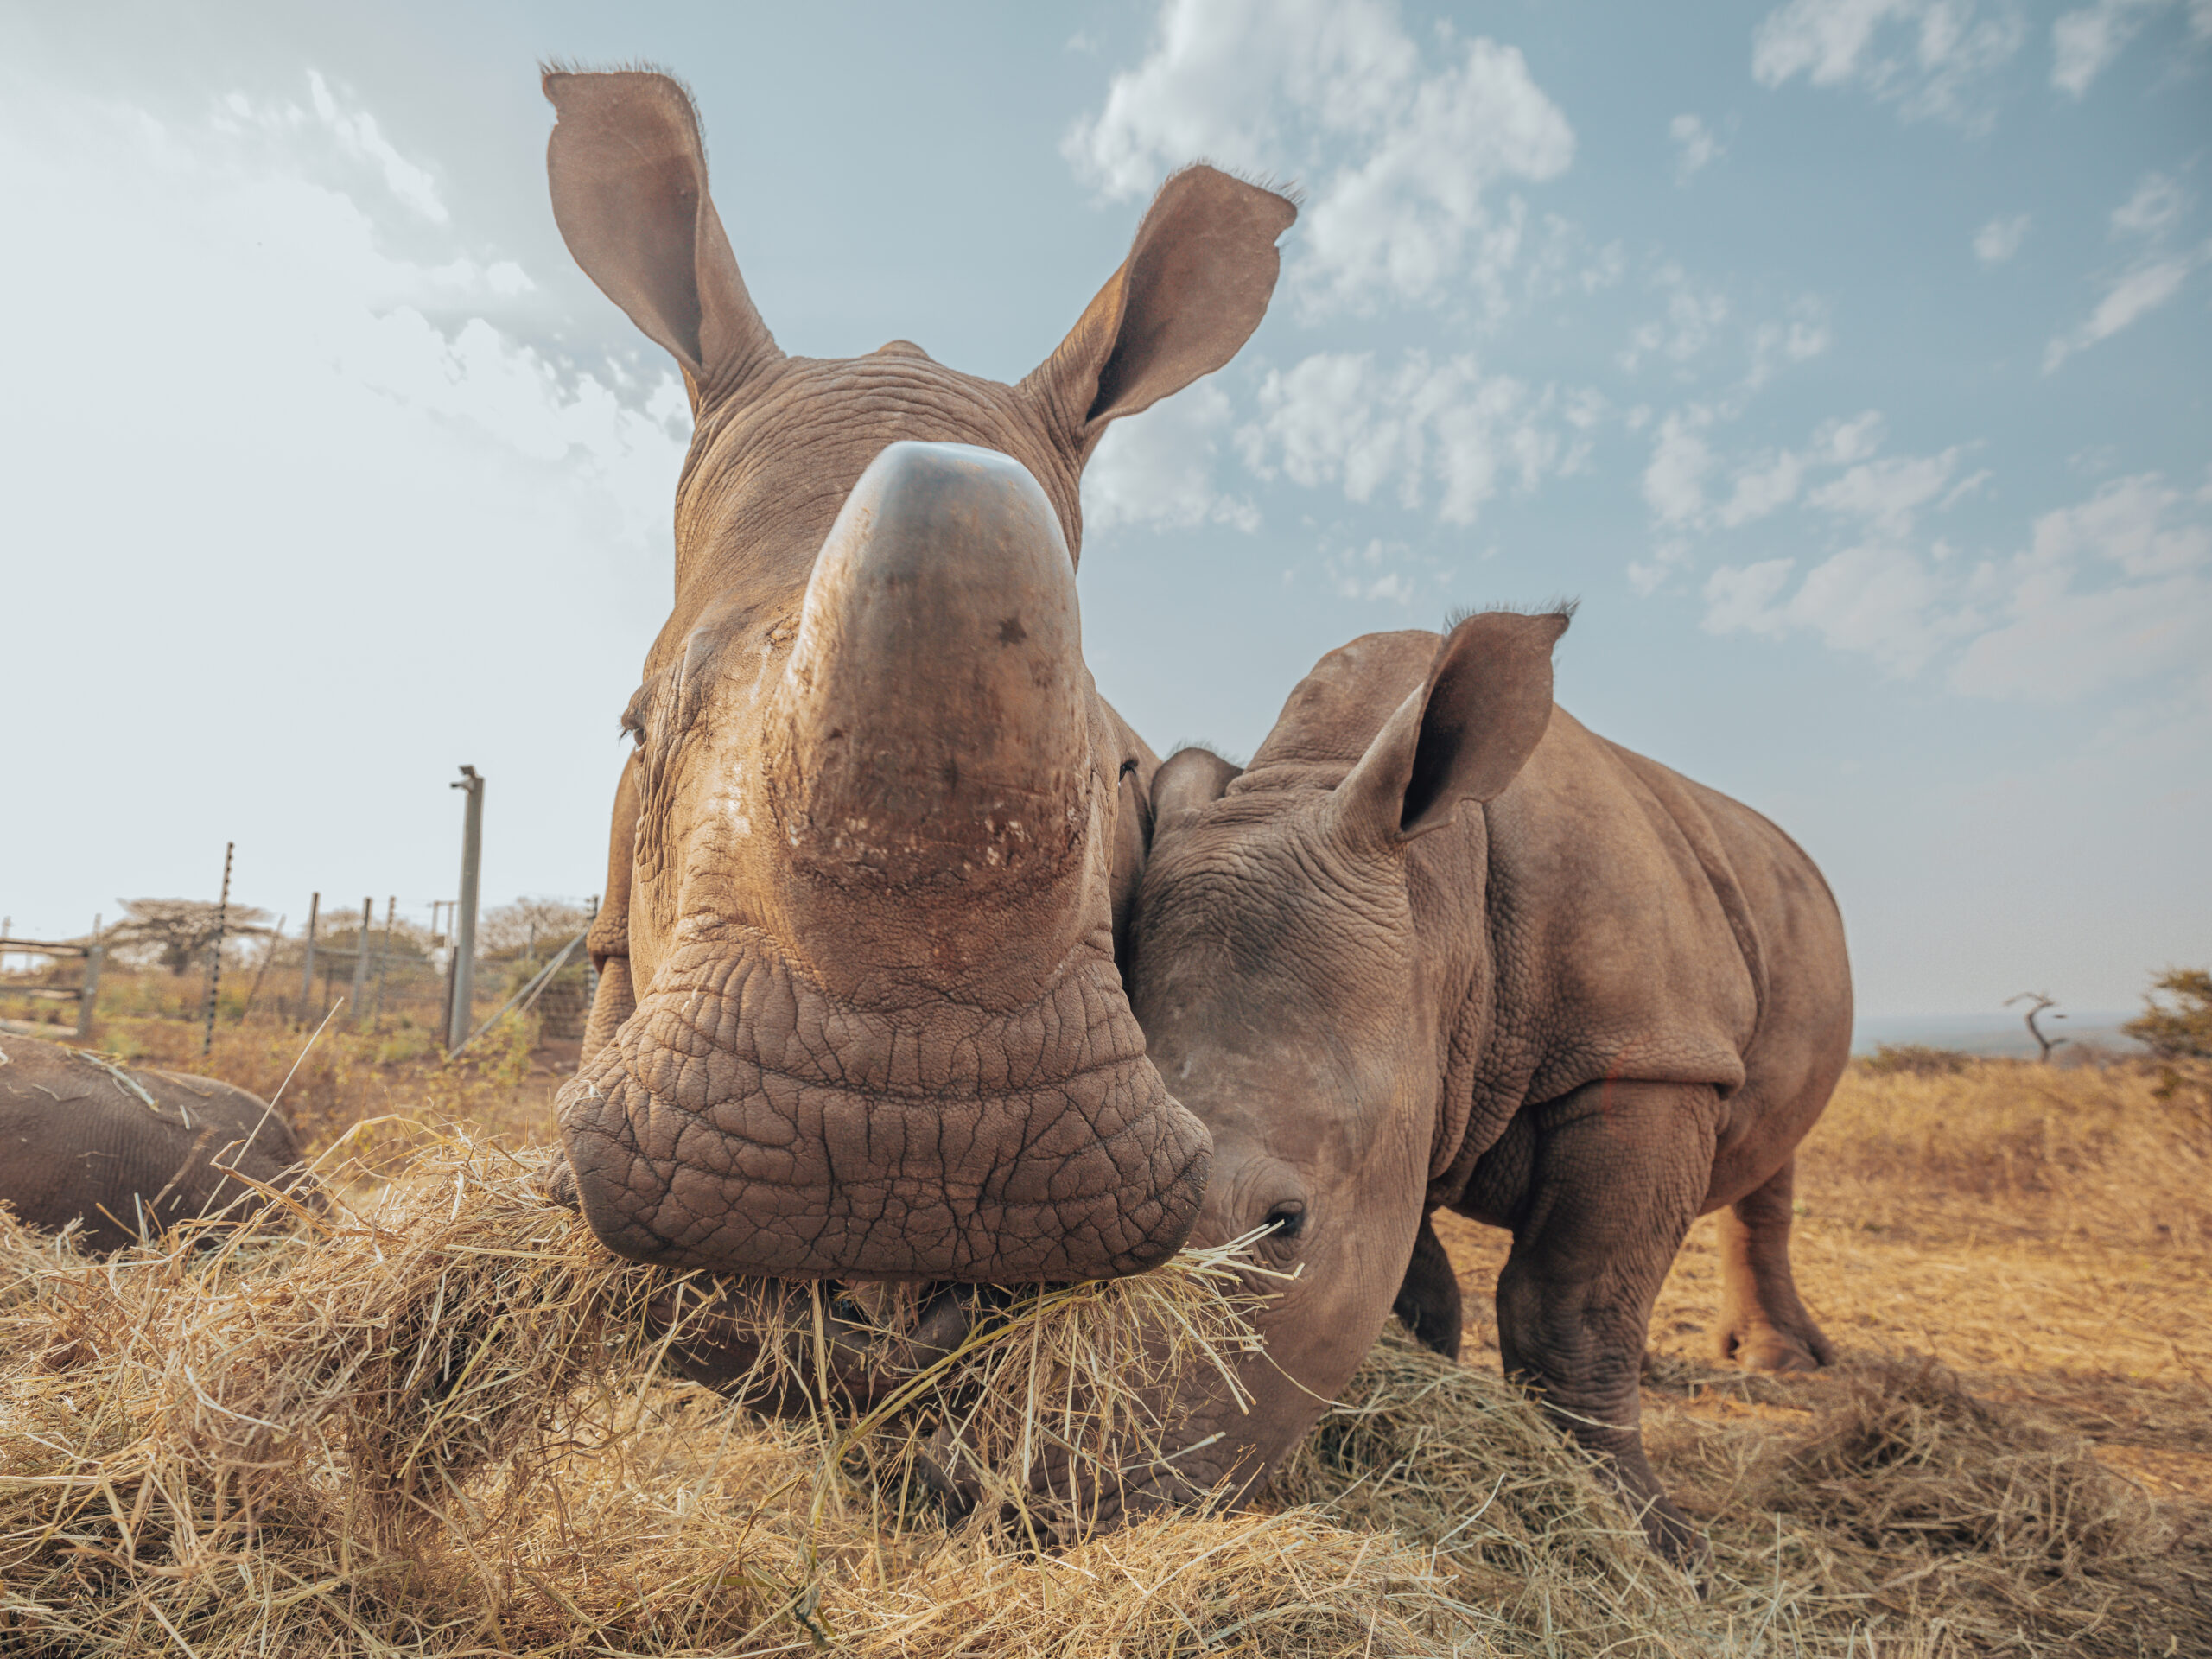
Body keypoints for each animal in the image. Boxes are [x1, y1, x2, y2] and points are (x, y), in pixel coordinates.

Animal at [1104, 610, 1852, 1562]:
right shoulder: (1416, 1085)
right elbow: (1417, 1289)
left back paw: (1774, 1366)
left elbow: (1567, 1308)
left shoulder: (1645, 1056)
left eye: (1284, 1222)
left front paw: (1652, 1541)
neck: (1440, 892)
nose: (1076, 1503)